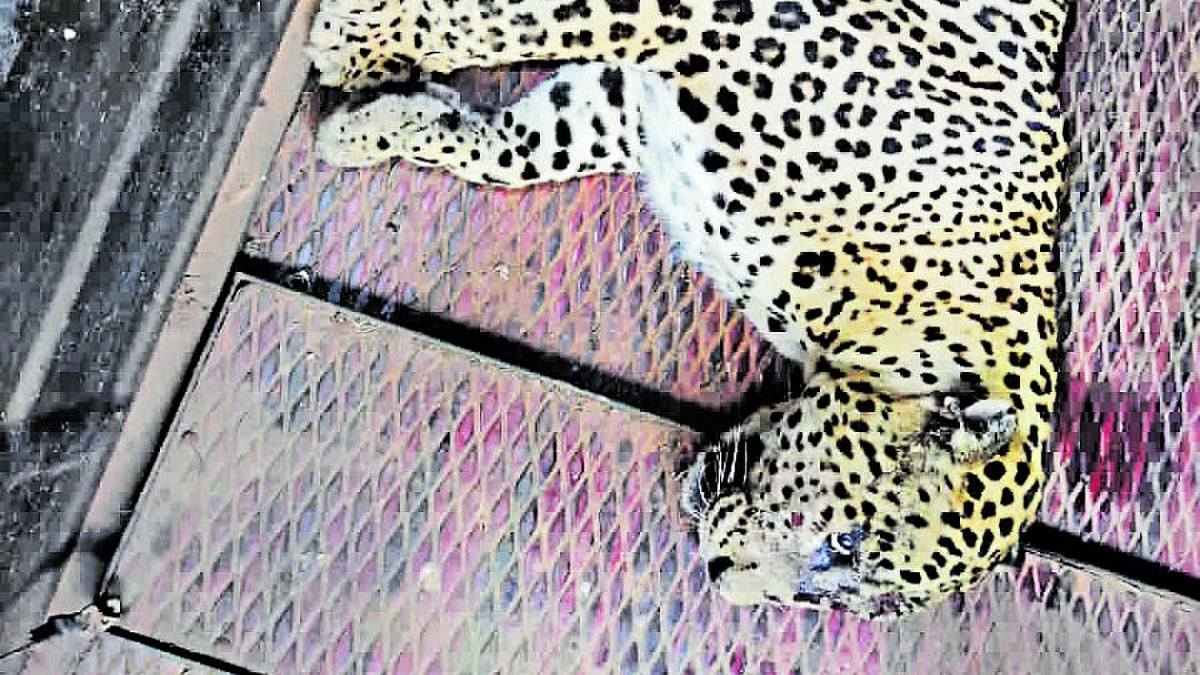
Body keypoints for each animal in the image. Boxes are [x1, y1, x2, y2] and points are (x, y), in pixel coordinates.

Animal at [305, 0, 1069, 617]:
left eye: (845, 597)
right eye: (846, 543)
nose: (722, 579)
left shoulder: (636, 112)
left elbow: (523, 148)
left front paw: (376, 123)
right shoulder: (741, 24)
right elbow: (542, 19)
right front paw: (363, 40)